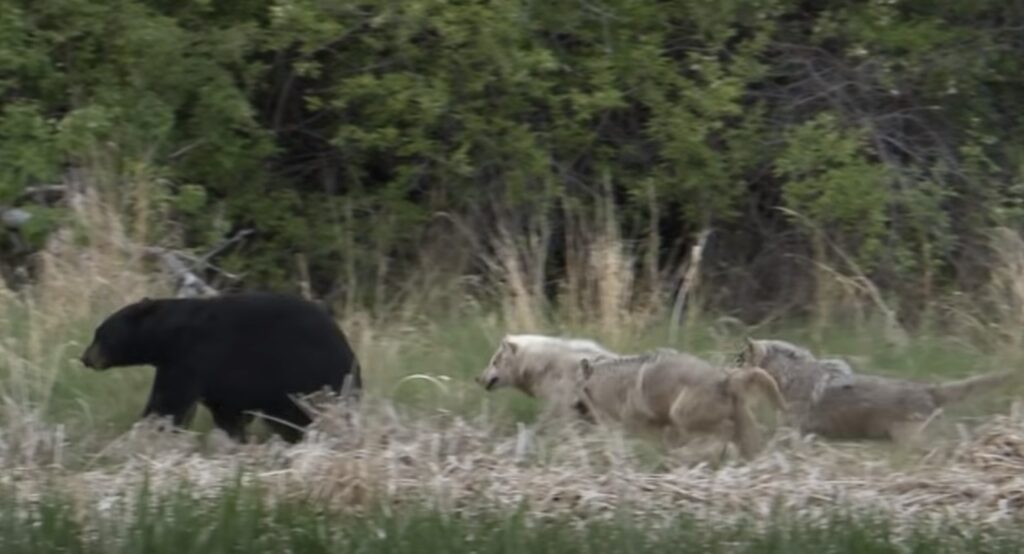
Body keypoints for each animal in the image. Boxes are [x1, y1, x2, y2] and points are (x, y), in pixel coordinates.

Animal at [79, 292, 362, 443]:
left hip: (311, 379)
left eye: (100, 334)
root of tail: (351, 355)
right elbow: (226, 411)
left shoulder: (191, 357)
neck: (167, 336)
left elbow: (168, 403)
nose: (85, 357)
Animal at [574, 349, 786, 460]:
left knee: (725, 430)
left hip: (682, 415)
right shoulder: (662, 427)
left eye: (581, 388)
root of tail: (727, 379)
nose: (577, 409)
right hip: (743, 423)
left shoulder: (641, 426)